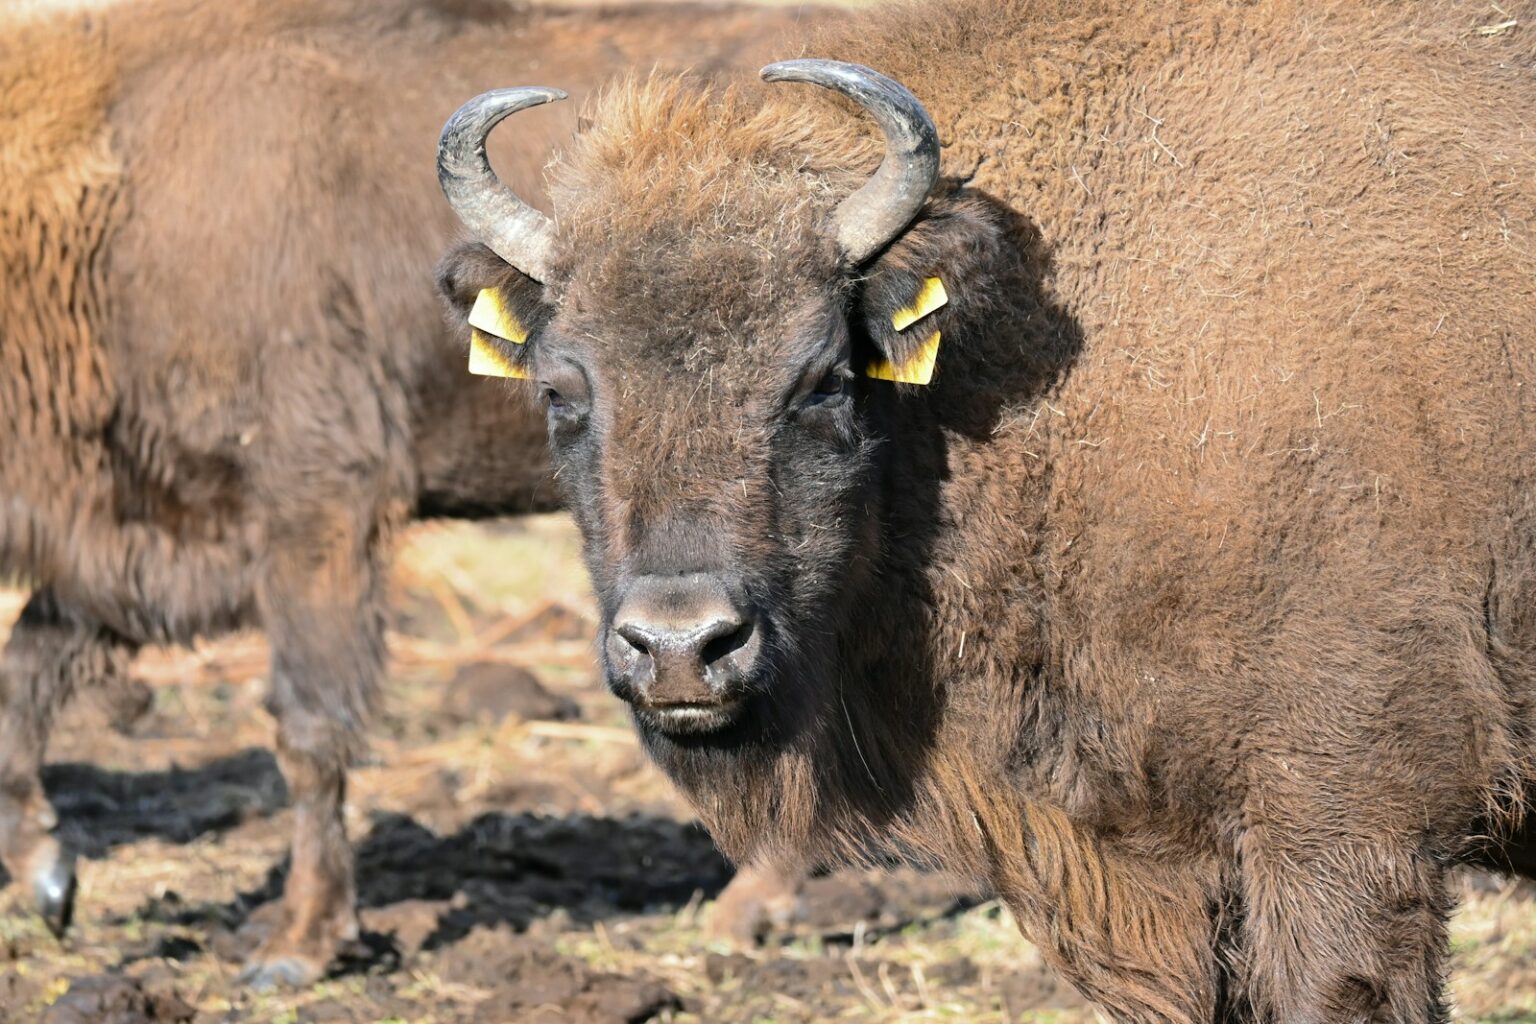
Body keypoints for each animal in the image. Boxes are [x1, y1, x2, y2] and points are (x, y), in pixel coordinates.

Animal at [0, 0, 816, 988]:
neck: (106, 192)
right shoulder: (154, 534)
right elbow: (23, 670)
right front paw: (47, 879)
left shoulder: (315, 510)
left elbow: (307, 727)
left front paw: (296, 945)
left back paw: (746, 909)